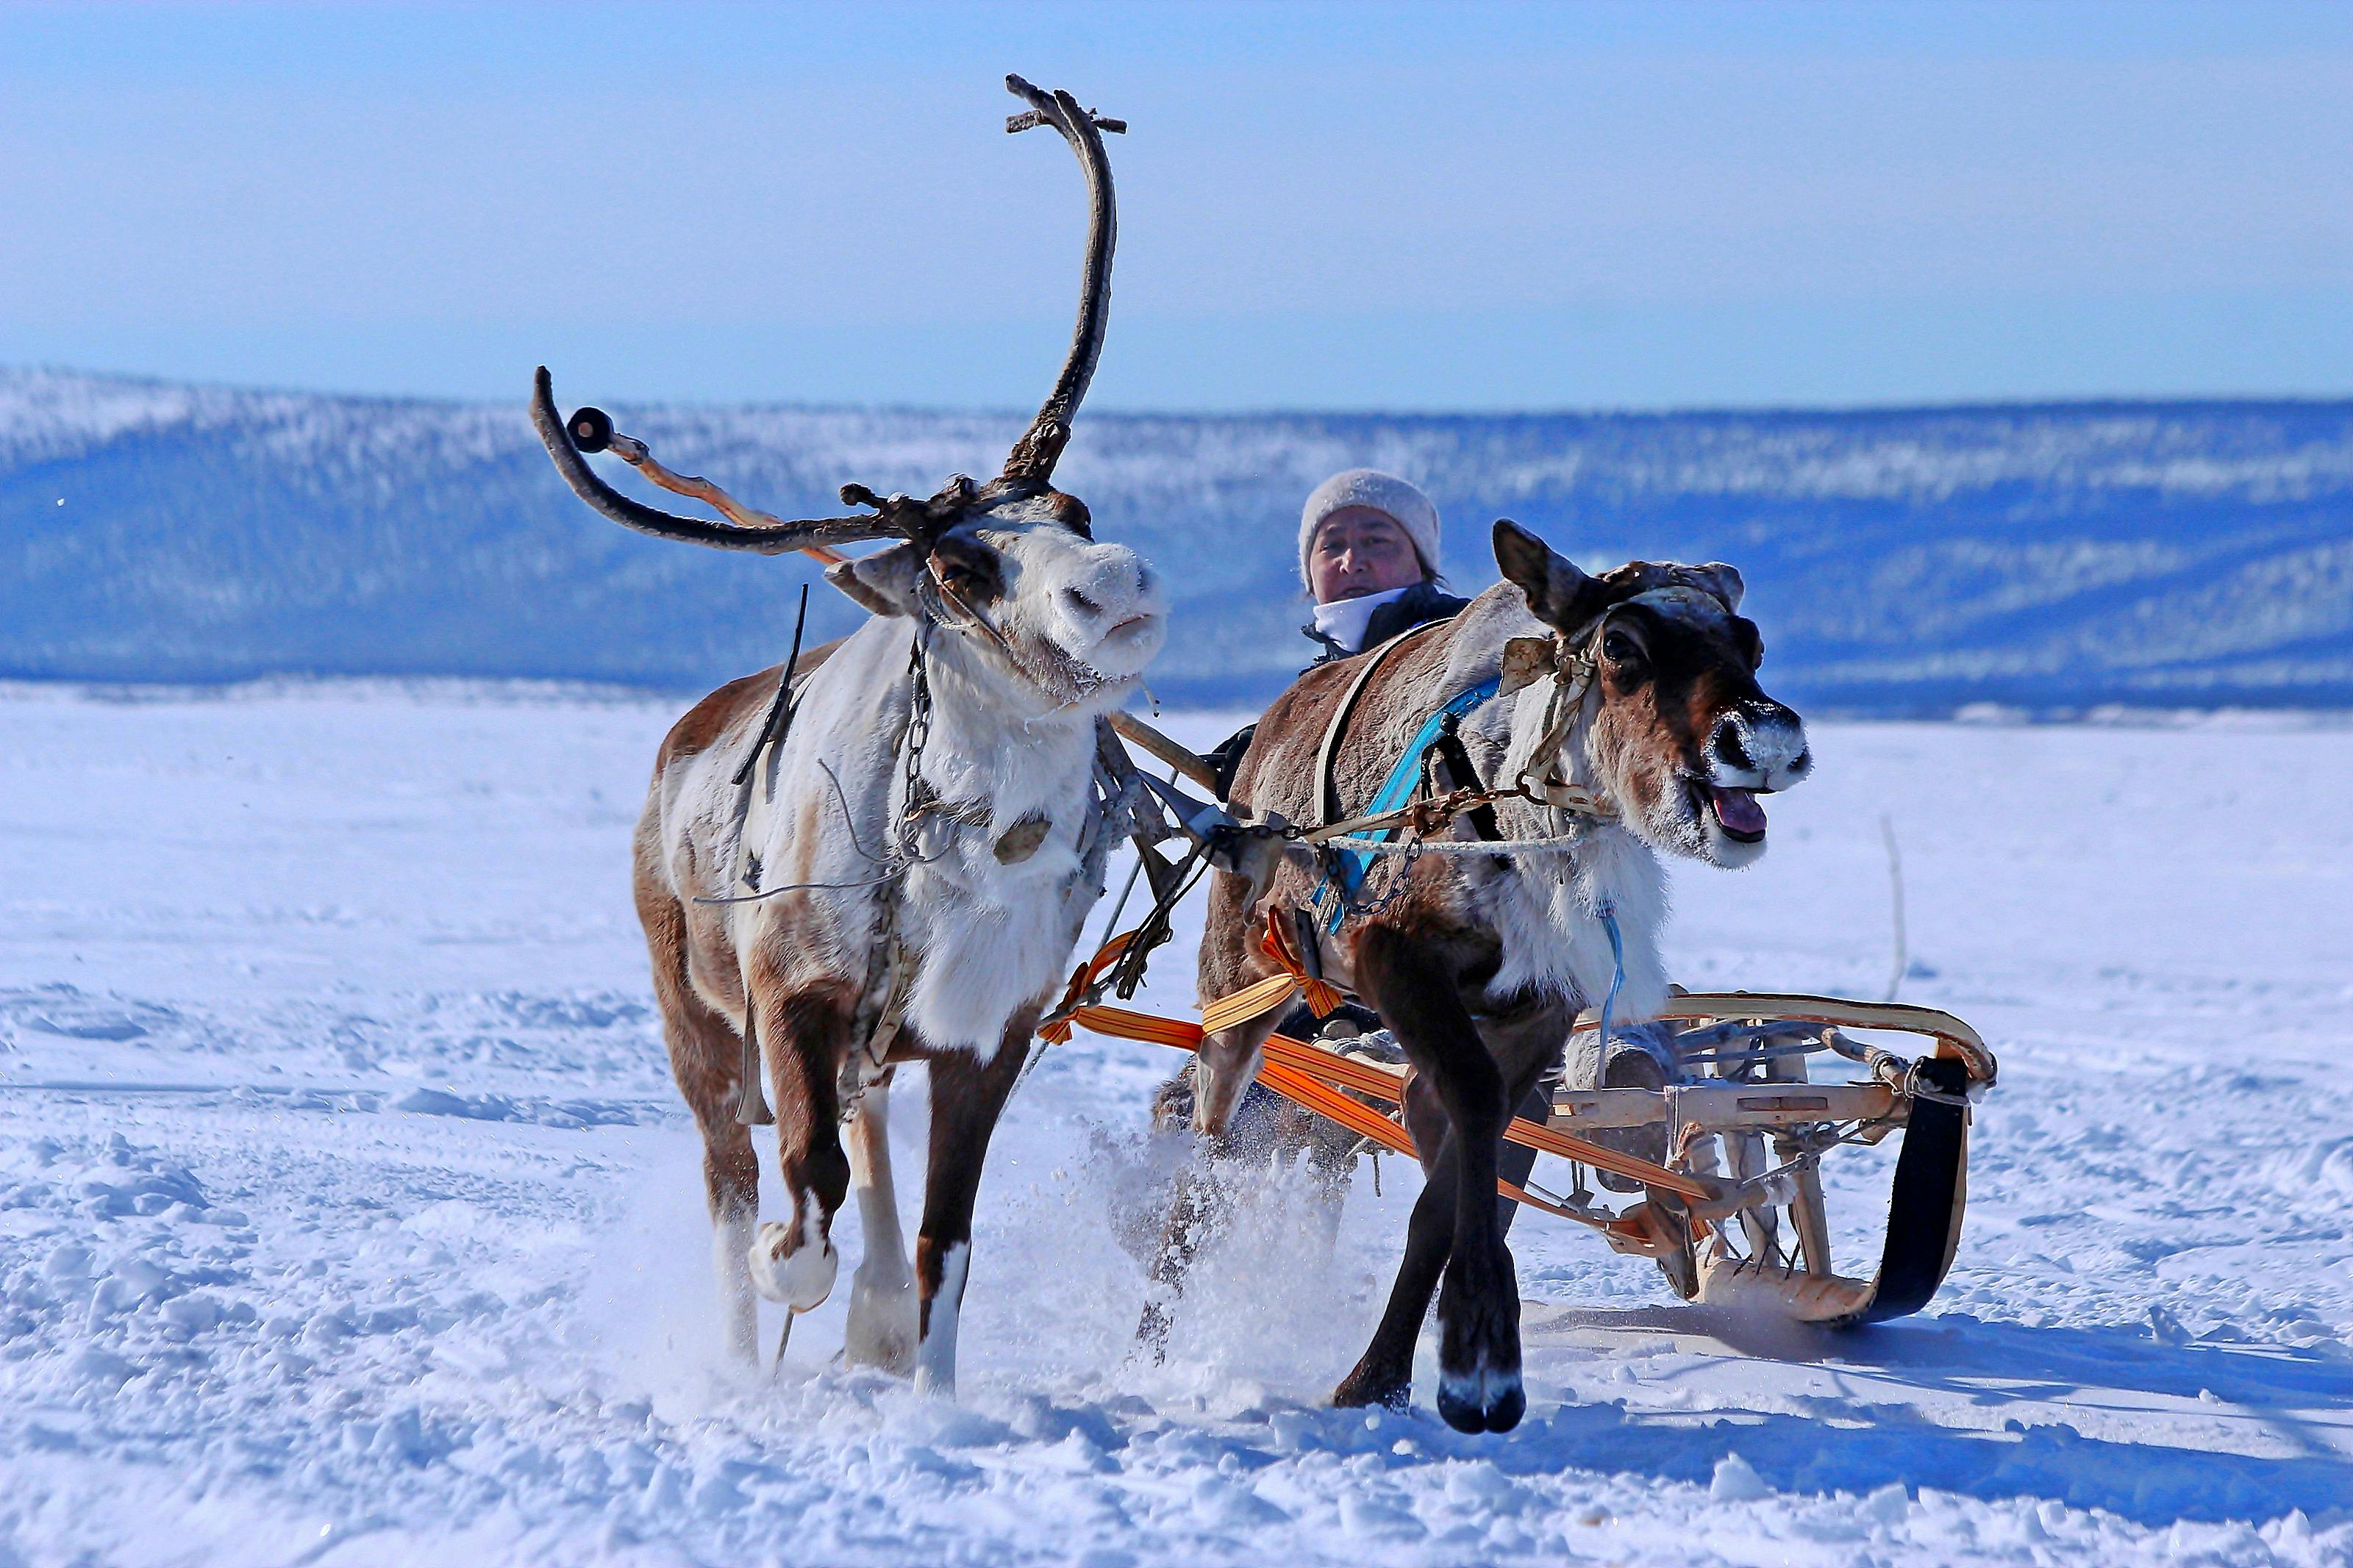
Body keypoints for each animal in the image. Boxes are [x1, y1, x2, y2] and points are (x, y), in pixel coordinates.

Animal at [528, 78, 1167, 1395]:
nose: (1116, 585)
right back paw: (738, 1355)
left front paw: (931, 1393)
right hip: (693, 1023)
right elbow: (803, 1185)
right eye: (961, 568)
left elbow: (944, 1238)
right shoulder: (793, 993)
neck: (973, 841)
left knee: (867, 1151)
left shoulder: (991, 1032)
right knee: (730, 1183)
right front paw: (798, 1278)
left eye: (1076, 509)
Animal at [1178, 519, 1811, 1432]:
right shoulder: (1393, 956)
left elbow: (1455, 1181)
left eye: (1749, 641)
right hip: (1238, 993)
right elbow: (1471, 1117)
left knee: (1416, 1109)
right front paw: (1477, 1338)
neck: (1509, 808)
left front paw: (1395, 1375)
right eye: (1619, 646)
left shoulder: (1534, 1011)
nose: (1767, 742)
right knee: (1204, 1143)